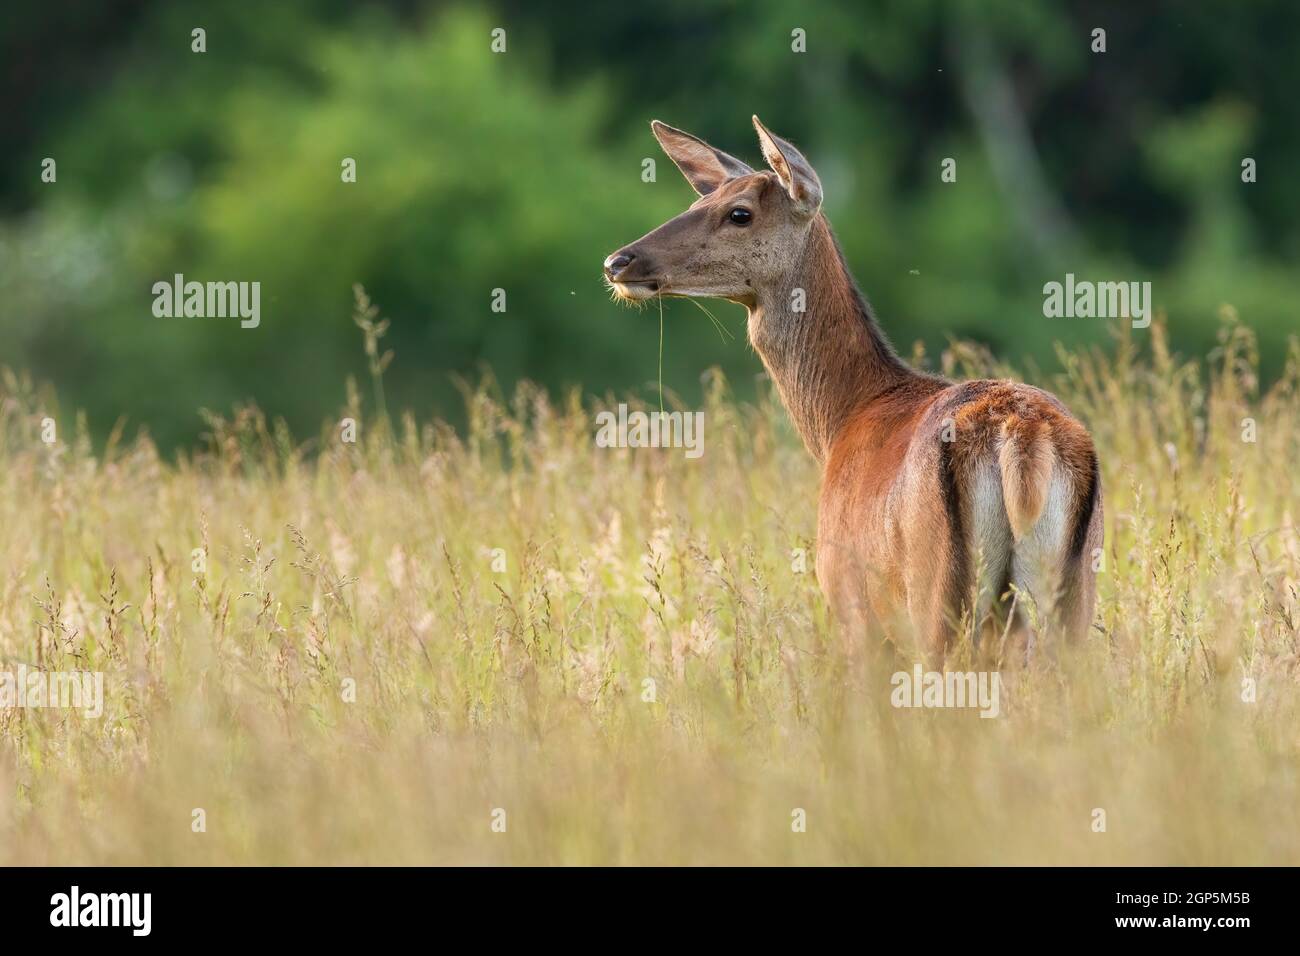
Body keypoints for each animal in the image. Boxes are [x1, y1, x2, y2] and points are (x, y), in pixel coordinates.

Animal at [603, 116, 1103, 664]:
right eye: (697, 203)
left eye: (739, 213)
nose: (618, 261)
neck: (843, 419)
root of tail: (1022, 435)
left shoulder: (851, 603)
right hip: (1073, 592)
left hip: (934, 597)